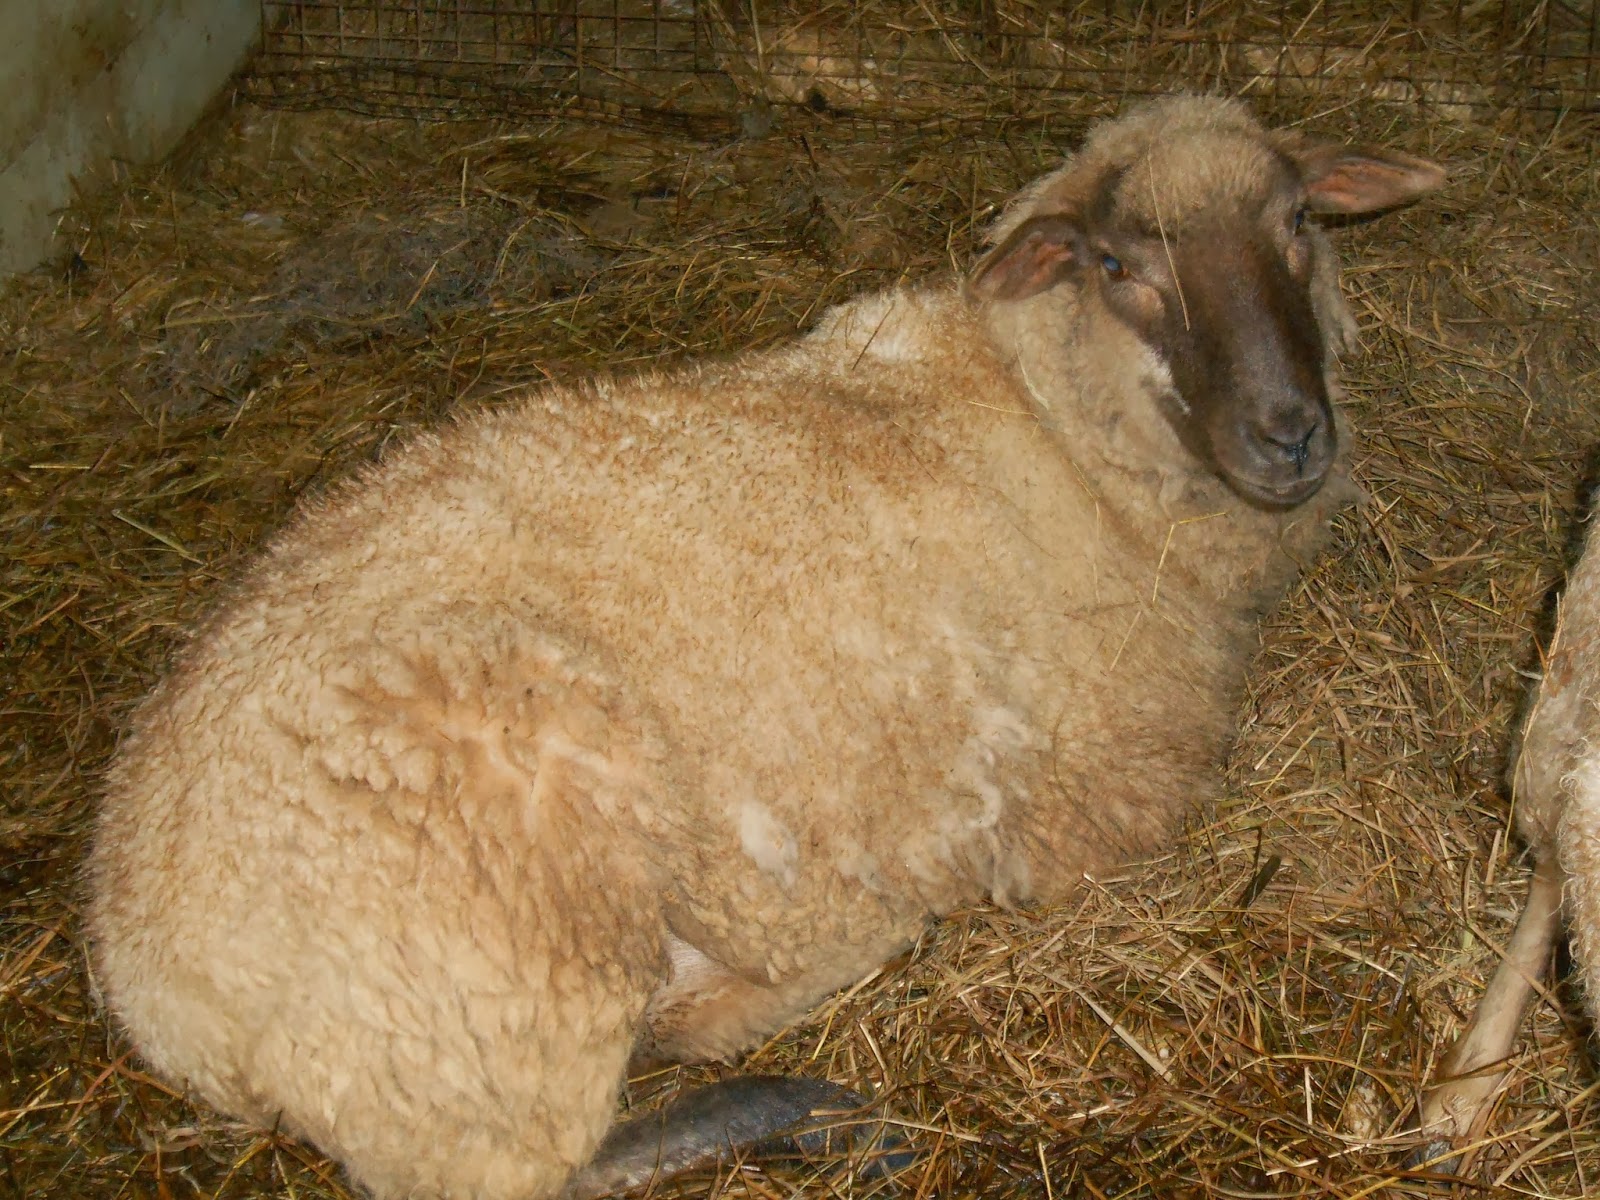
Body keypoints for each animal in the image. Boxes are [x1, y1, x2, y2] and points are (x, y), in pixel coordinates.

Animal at [87, 96, 1445, 1200]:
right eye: (1120, 265)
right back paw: (817, 1075)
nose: (1289, 433)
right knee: (549, 1151)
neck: (1049, 426)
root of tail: (152, 973)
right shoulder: (1111, 787)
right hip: (494, 956)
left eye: (1299, 222)